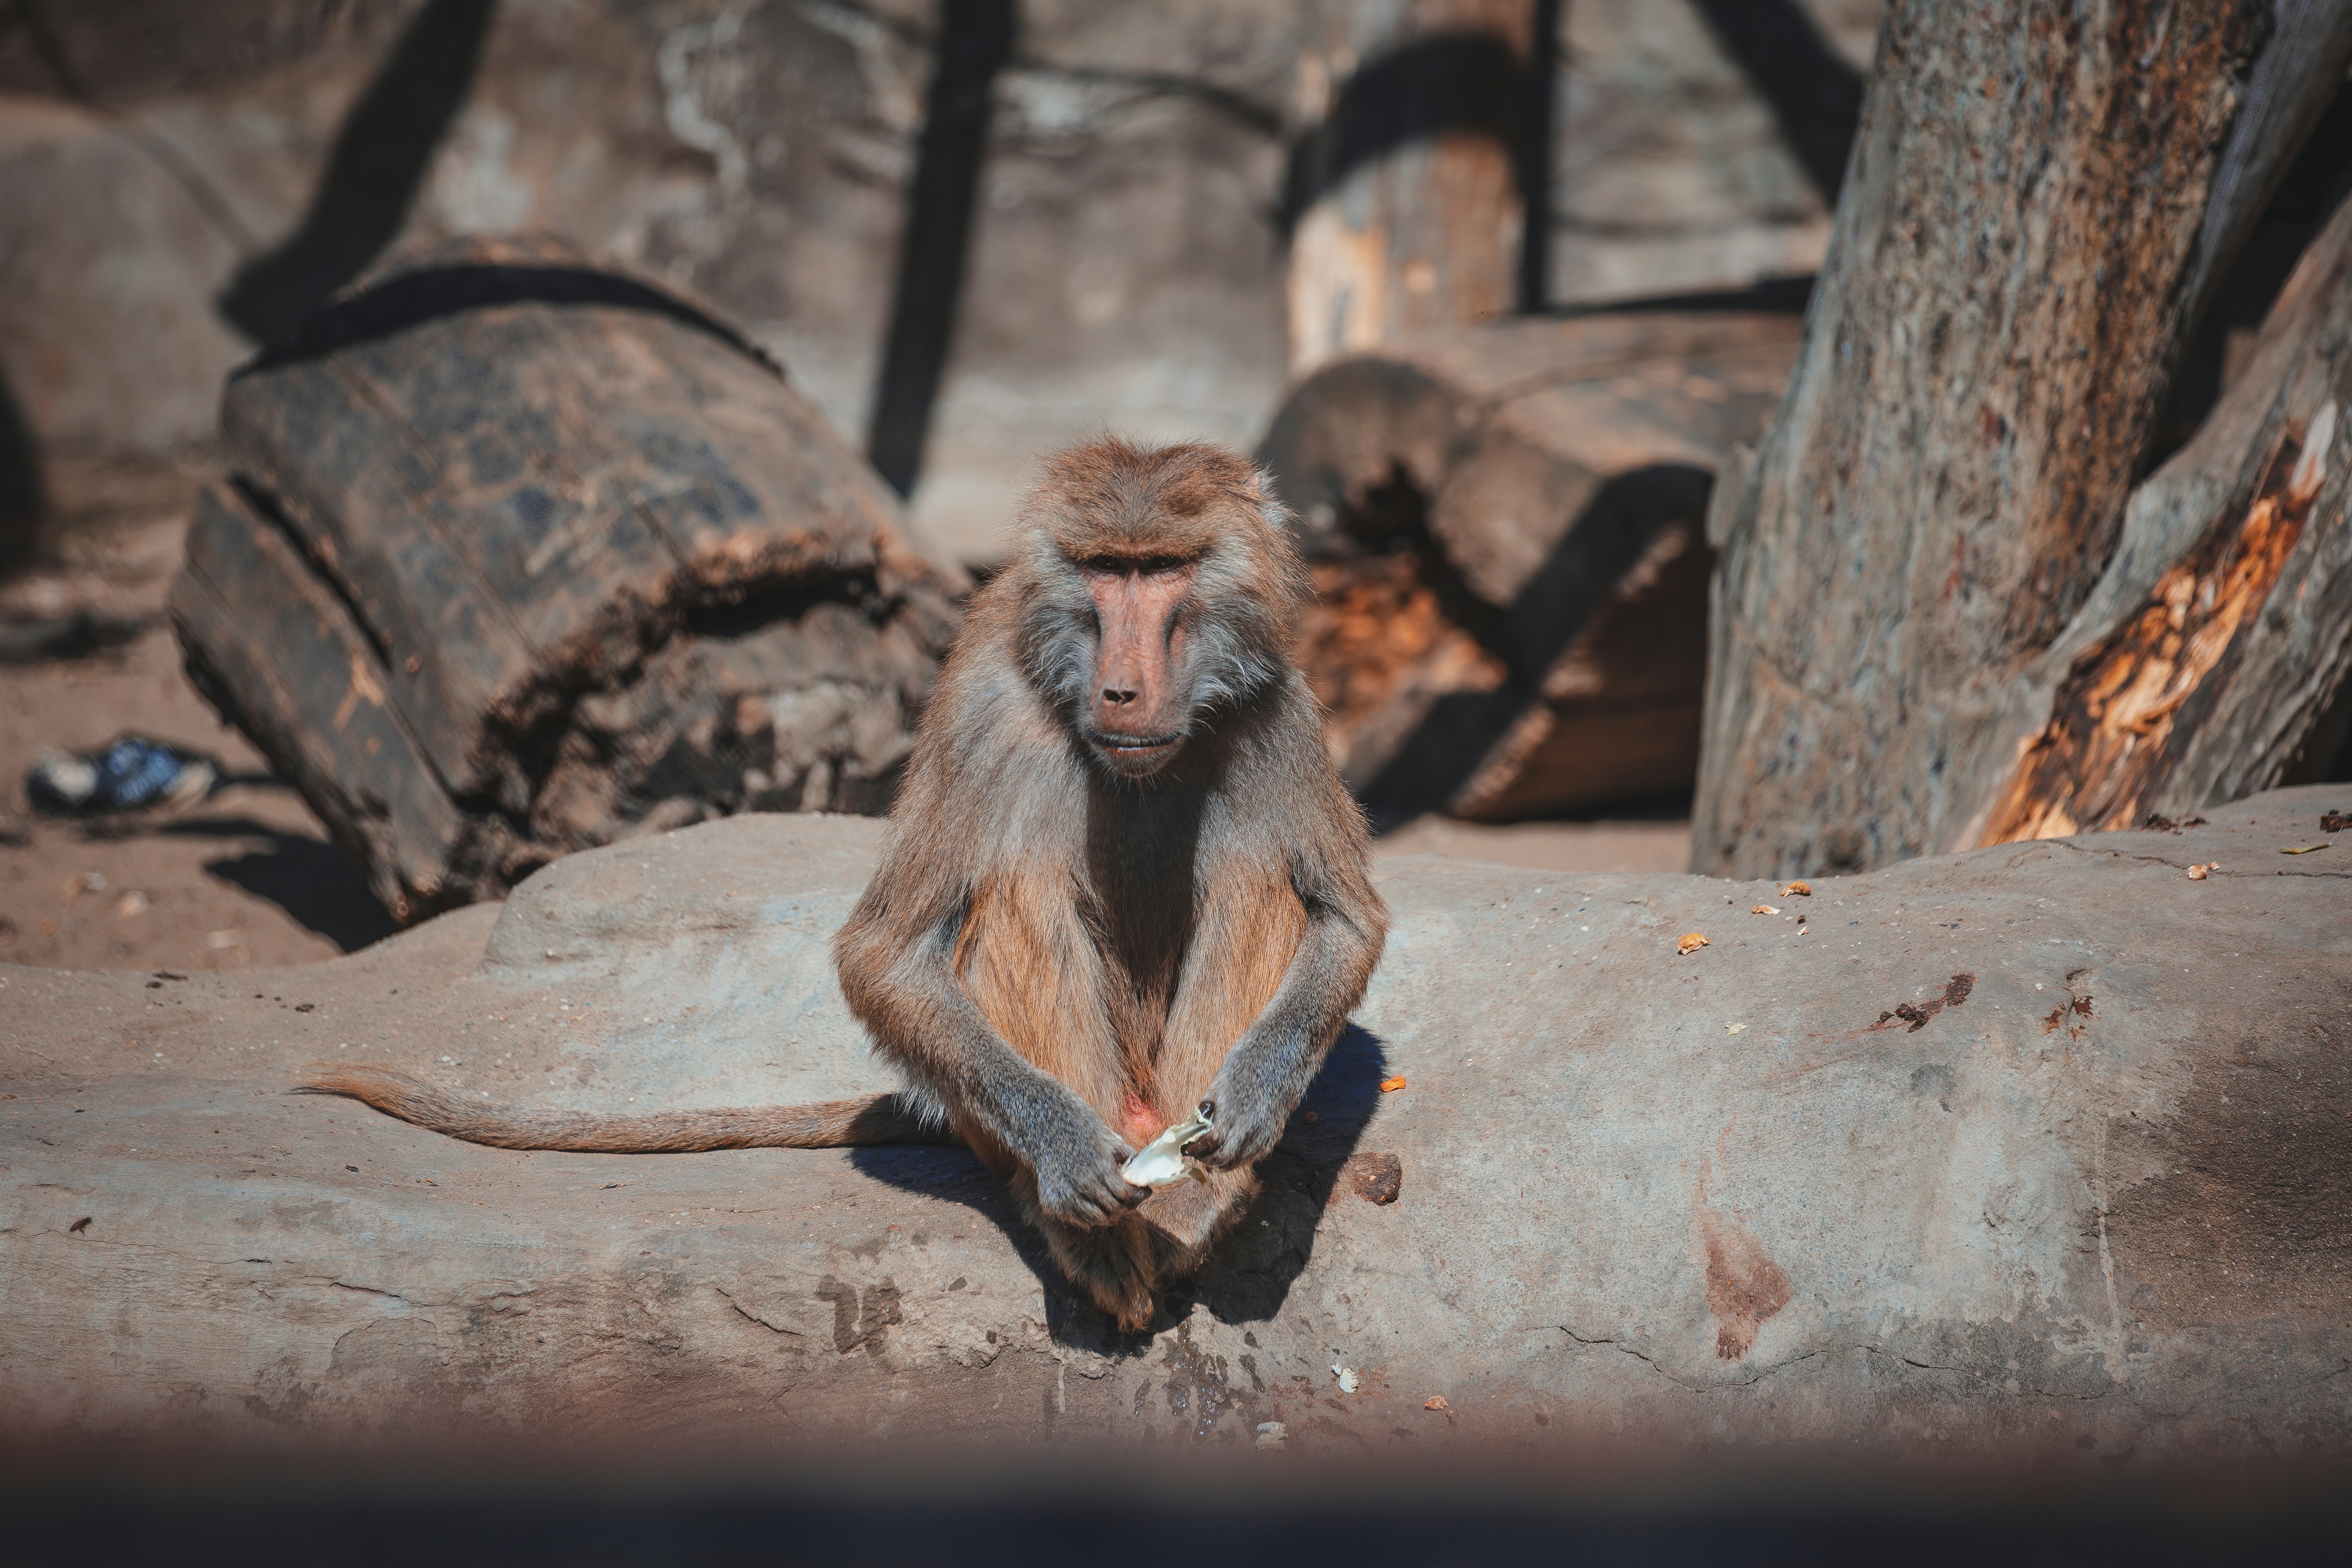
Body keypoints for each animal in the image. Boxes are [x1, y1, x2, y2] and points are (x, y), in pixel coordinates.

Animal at [304, 436, 1388, 1331]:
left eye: (1164, 569)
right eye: (1102, 570)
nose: (1122, 691)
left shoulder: (1277, 707)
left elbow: (1346, 919)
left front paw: (1250, 1103)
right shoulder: (981, 703)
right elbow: (885, 953)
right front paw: (1068, 1159)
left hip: (1159, 1083)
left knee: (1255, 879)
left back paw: (1197, 1198)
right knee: (1013, 897)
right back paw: (1093, 1232)